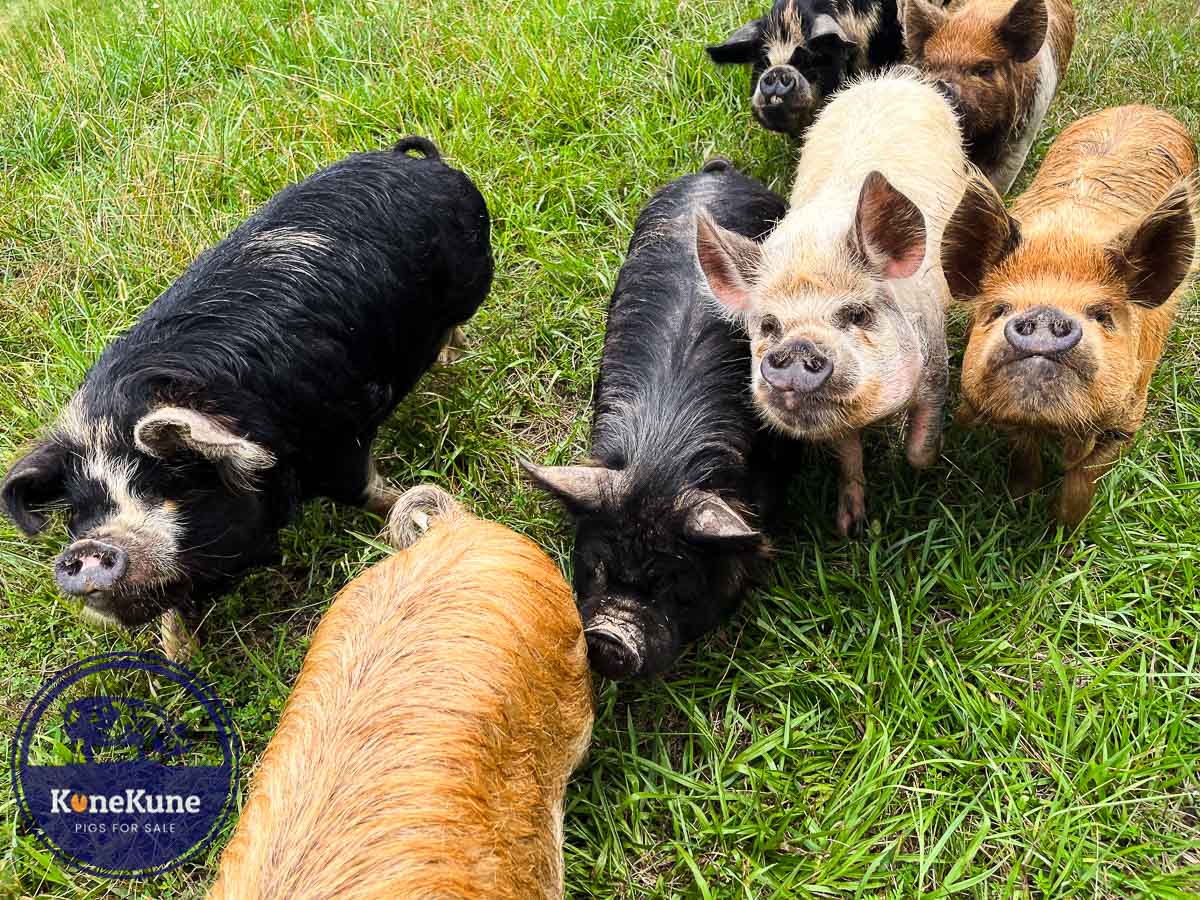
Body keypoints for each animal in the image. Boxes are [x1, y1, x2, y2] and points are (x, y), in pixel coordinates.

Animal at [0, 137, 493, 637]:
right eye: (81, 512)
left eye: (168, 487)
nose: (88, 549)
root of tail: (409, 161)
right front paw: (178, 645)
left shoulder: (338, 437)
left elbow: (366, 489)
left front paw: (414, 507)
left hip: (474, 280)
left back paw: (455, 355)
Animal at [695, 69, 973, 537]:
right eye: (769, 326)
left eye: (857, 314)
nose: (797, 348)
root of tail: (891, 79)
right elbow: (846, 455)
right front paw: (851, 528)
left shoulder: (936, 364)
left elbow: (921, 444)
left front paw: (921, 470)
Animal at [941, 105, 1198, 526]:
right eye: (998, 309)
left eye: (1103, 315)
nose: (1046, 316)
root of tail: (1141, 108)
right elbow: (1024, 454)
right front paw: (1019, 503)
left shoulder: (1130, 418)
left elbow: (1084, 475)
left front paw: (1065, 528)